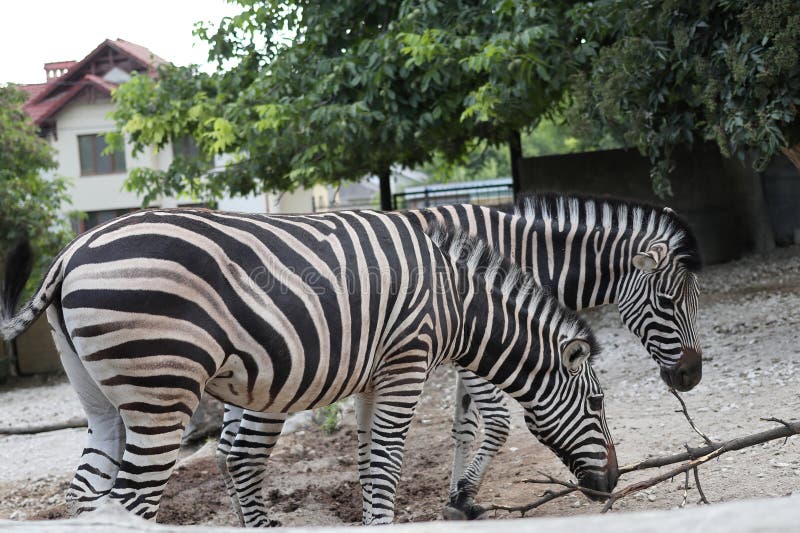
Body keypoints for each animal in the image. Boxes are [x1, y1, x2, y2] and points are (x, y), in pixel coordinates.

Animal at [0, 208, 618, 525]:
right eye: (597, 402)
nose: (612, 484)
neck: (455, 300)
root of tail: (71, 251)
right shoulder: (407, 362)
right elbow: (385, 467)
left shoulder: (375, 377)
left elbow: (369, 465)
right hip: (162, 392)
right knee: (129, 504)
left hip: (103, 403)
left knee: (84, 495)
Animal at [217, 193, 702, 523]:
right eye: (667, 302)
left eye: (693, 302)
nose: (691, 376)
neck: (519, 252)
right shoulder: (480, 347)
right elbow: (496, 423)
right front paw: (463, 496)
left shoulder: (471, 348)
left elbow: (462, 426)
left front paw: (458, 496)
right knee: (240, 454)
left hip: (244, 377)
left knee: (224, 451)